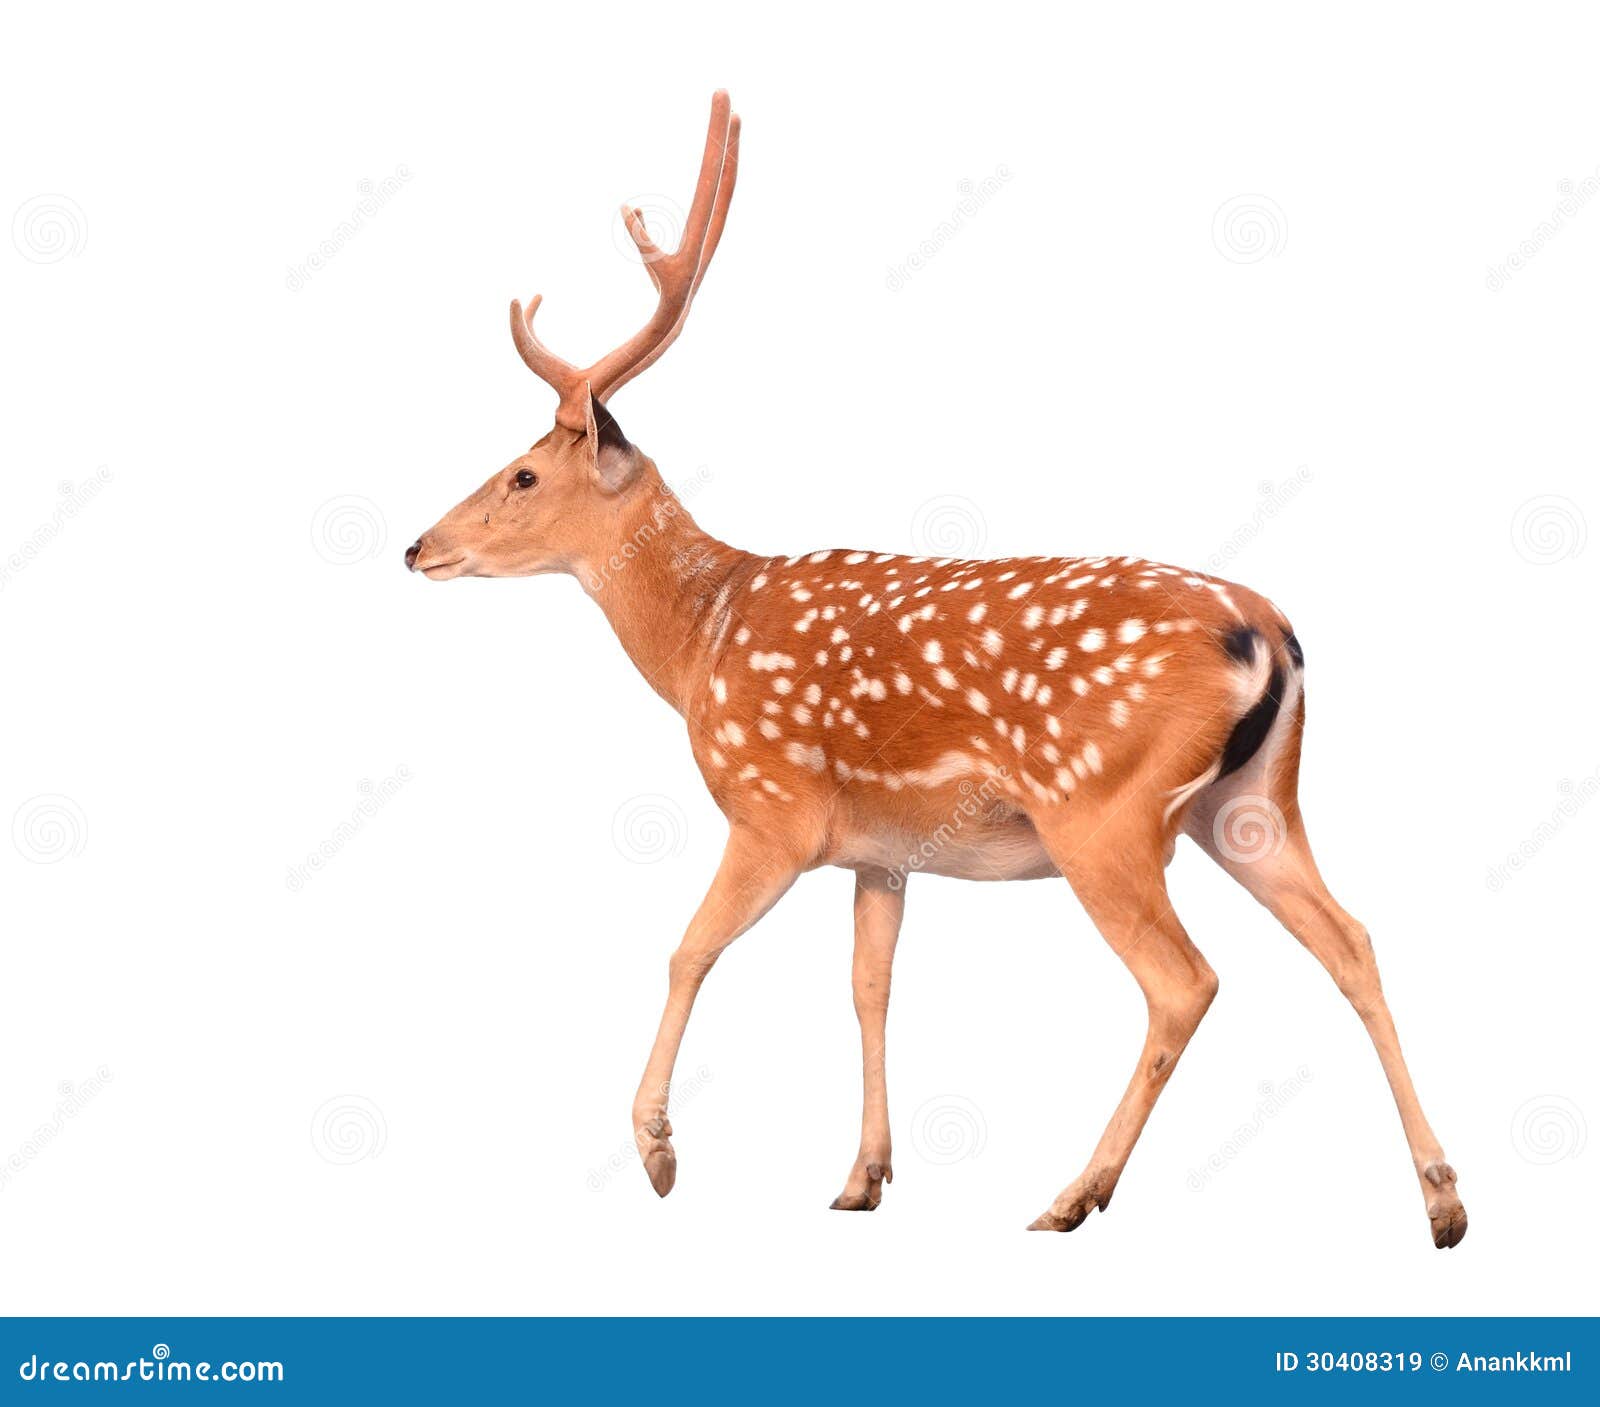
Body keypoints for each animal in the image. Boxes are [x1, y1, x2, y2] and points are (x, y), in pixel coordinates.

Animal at [405, 91, 1467, 1248]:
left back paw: (1074, 1194)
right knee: (1352, 939)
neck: (701, 641)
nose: (417, 546)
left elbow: (688, 947)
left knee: (1186, 980)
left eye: (521, 473)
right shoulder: (881, 849)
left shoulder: (774, 809)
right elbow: (869, 984)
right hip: (1252, 800)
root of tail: (1269, 632)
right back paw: (1442, 1199)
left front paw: (658, 1153)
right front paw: (861, 1175)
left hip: (1104, 808)